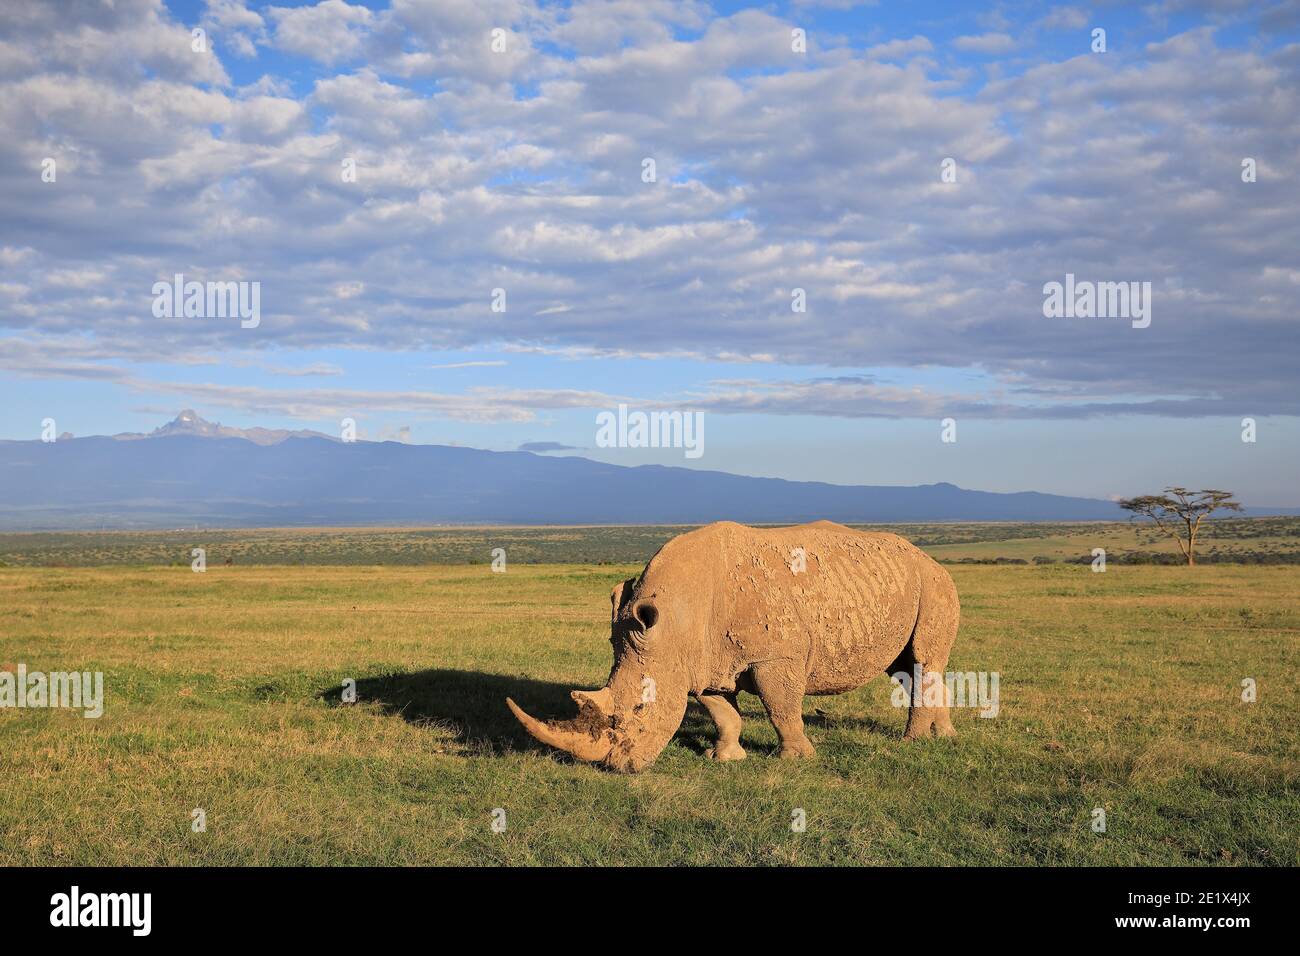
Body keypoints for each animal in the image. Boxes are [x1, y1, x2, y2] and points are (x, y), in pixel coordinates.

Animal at [507, 520, 961, 772]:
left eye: (638, 710)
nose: (618, 768)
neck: (674, 622)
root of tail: (929, 557)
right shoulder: (701, 662)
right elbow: (722, 712)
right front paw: (724, 759)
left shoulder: (776, 655)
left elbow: (780, 708)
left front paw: (796, 760)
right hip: (906, 585)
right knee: (909, 668)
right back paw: (943, 737)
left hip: (935, 584)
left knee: (922, 661)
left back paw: (911, 743)